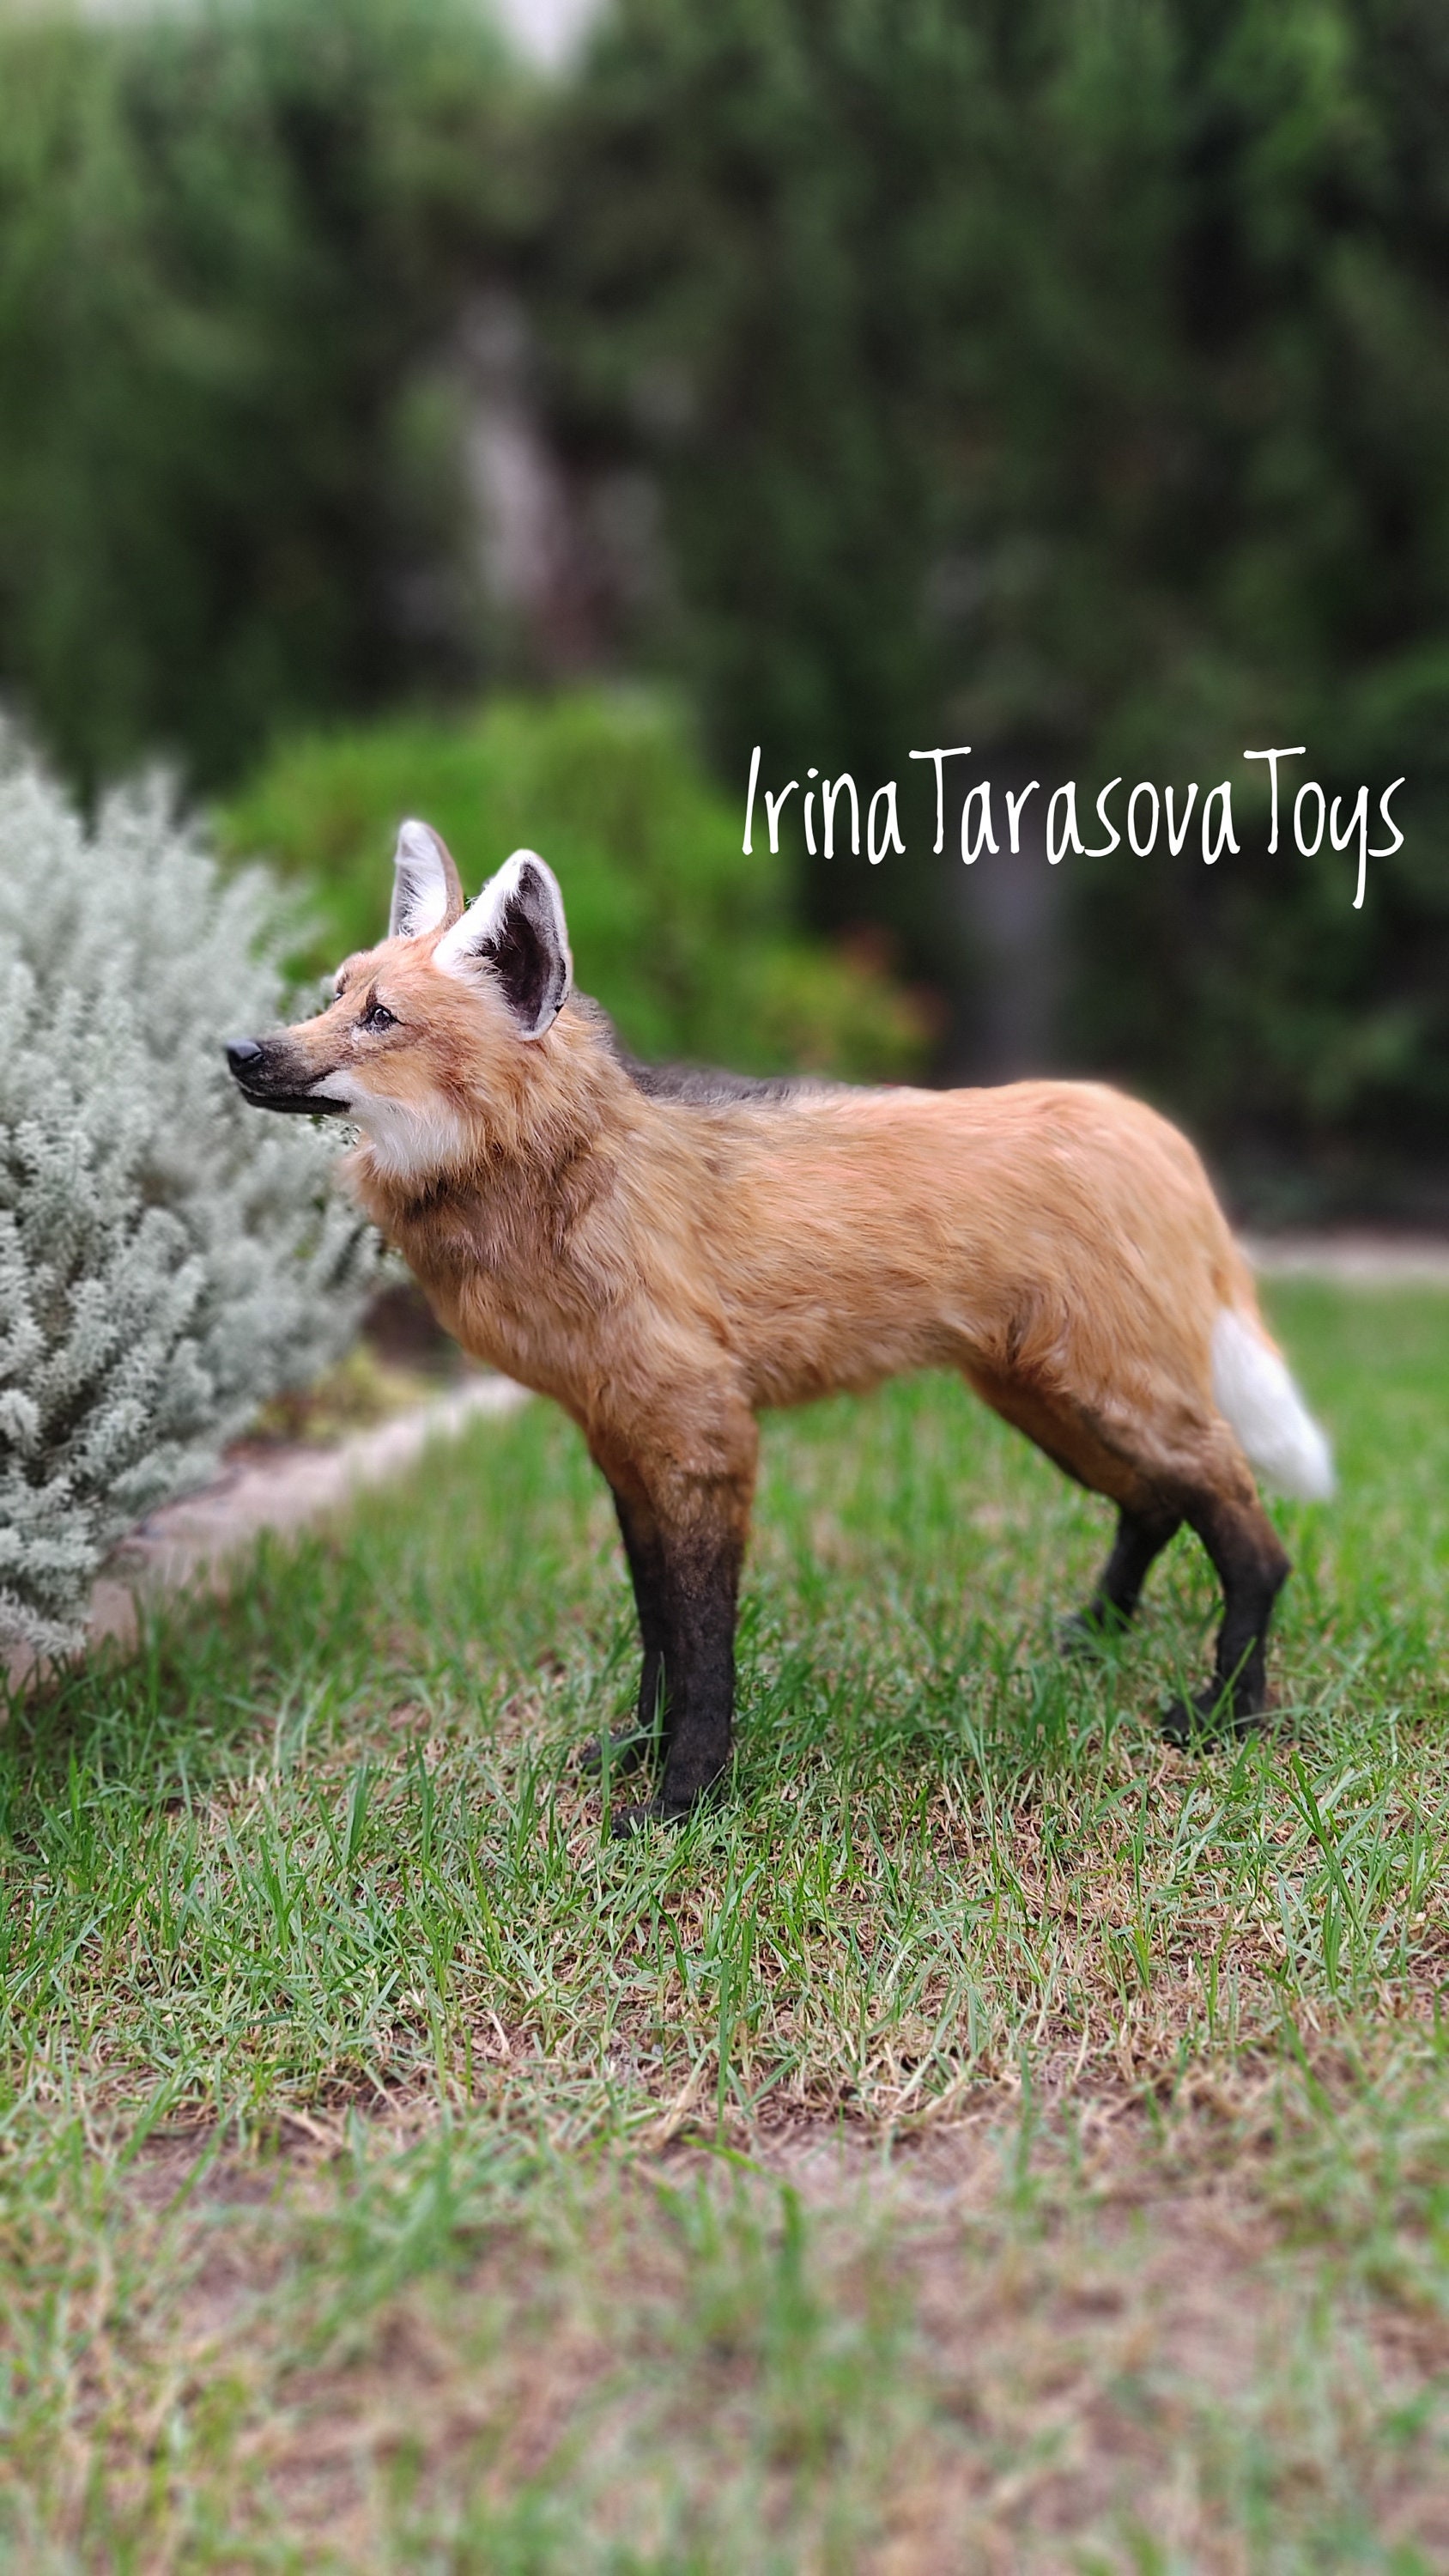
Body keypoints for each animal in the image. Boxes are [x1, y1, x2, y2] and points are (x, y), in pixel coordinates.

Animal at [227, 821, 1333, 1829]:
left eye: (380, 1018)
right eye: (334, 991)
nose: (240, 1051)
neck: (560, 1188)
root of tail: (1146, 1125)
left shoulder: (703, 1440)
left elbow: (703, 1654)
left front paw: (684, 1800)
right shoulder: (621, 1442)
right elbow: (658, 1634)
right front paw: (639, 1749)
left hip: (1108, 1396)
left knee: (1252, 1541)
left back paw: (1228, 1711)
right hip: (1040, 1399)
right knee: (1153, 1507)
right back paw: (1098, 1634)